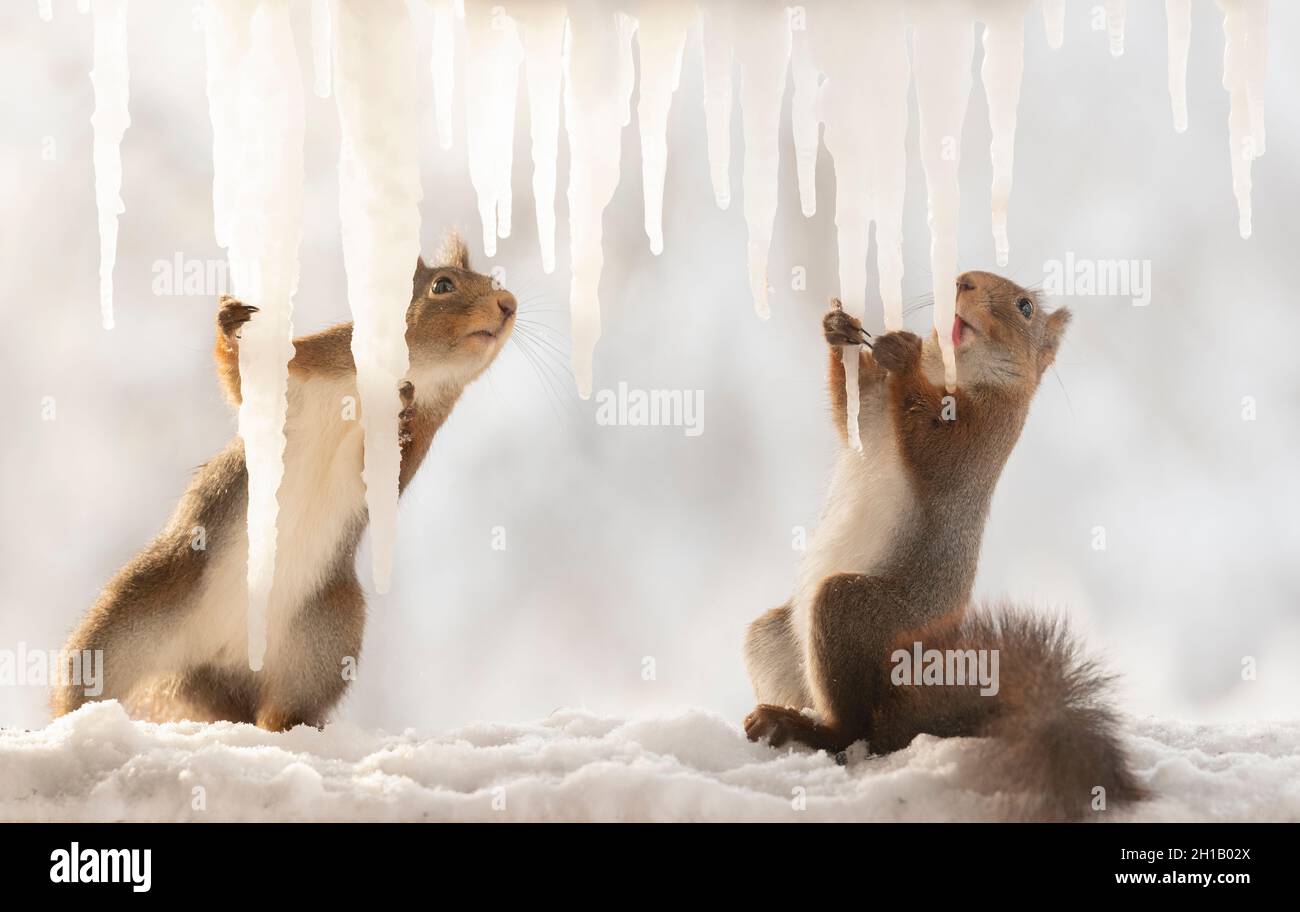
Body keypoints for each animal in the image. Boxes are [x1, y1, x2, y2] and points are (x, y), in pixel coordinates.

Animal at [52, 233, 516, 731]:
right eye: (442, 286)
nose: (508, 304)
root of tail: (224, 657)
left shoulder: (419, 434)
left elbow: (383, 473)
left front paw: (399, 418)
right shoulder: (304, 371)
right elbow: (241, 381)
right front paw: (231, 323)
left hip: (323, 641)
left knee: (286, 709)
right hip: (135, 613)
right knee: (88, 678)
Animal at [742, 271, 1142, 820]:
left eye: (1024, 307)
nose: (962, 279)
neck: (949, 371)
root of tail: (905, 706)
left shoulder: (979, 440)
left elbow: (934, 448)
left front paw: (903, 353)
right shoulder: (873, 410)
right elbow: (852, 412)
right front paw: (839, 328)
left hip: (853, 613)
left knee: (856, 734)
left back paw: (803, 727)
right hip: (771, 637)